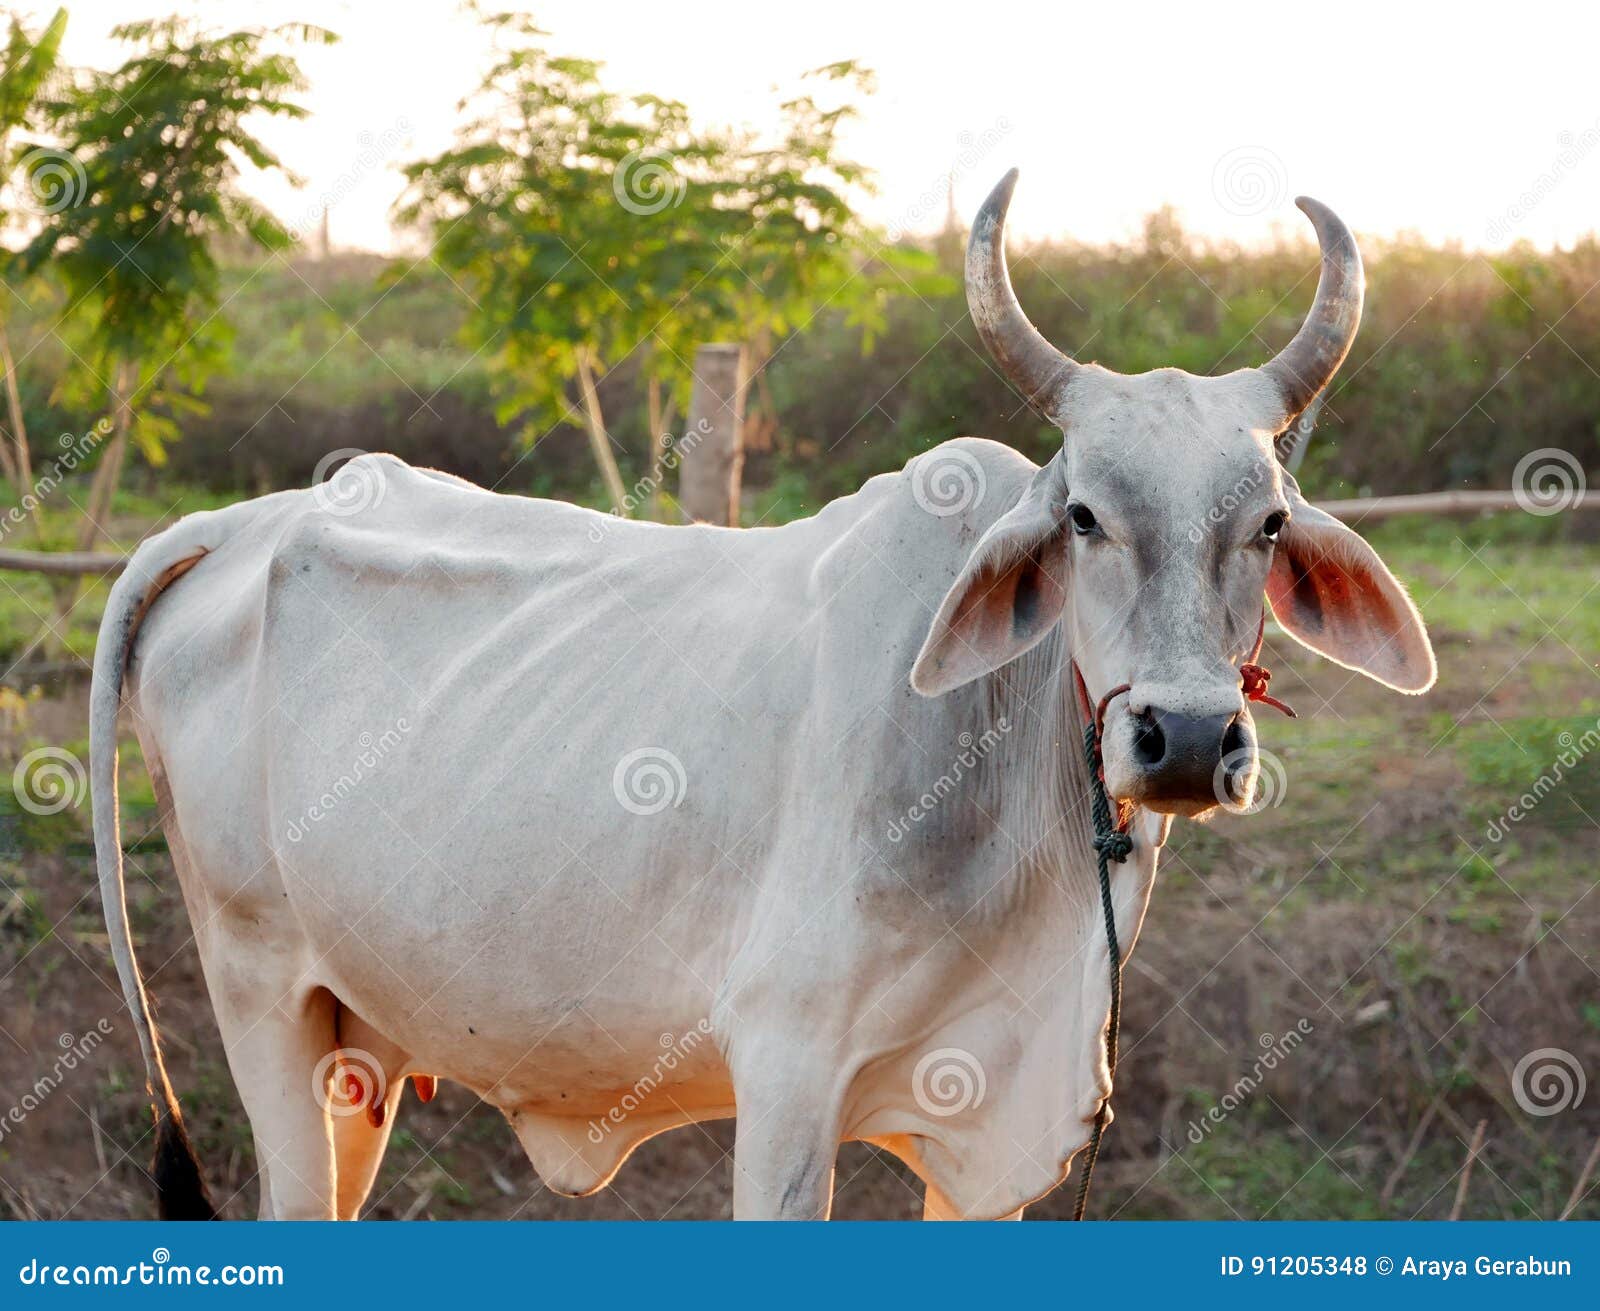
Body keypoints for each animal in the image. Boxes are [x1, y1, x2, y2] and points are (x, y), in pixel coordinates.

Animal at [91, 170, 1434, 1221]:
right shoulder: (788, 1077)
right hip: (261, 990)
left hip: (356, 1043)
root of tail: (239, 525)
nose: (1187, 738)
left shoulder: (988, 1134)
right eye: (1084, 516)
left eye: (1268, 523)